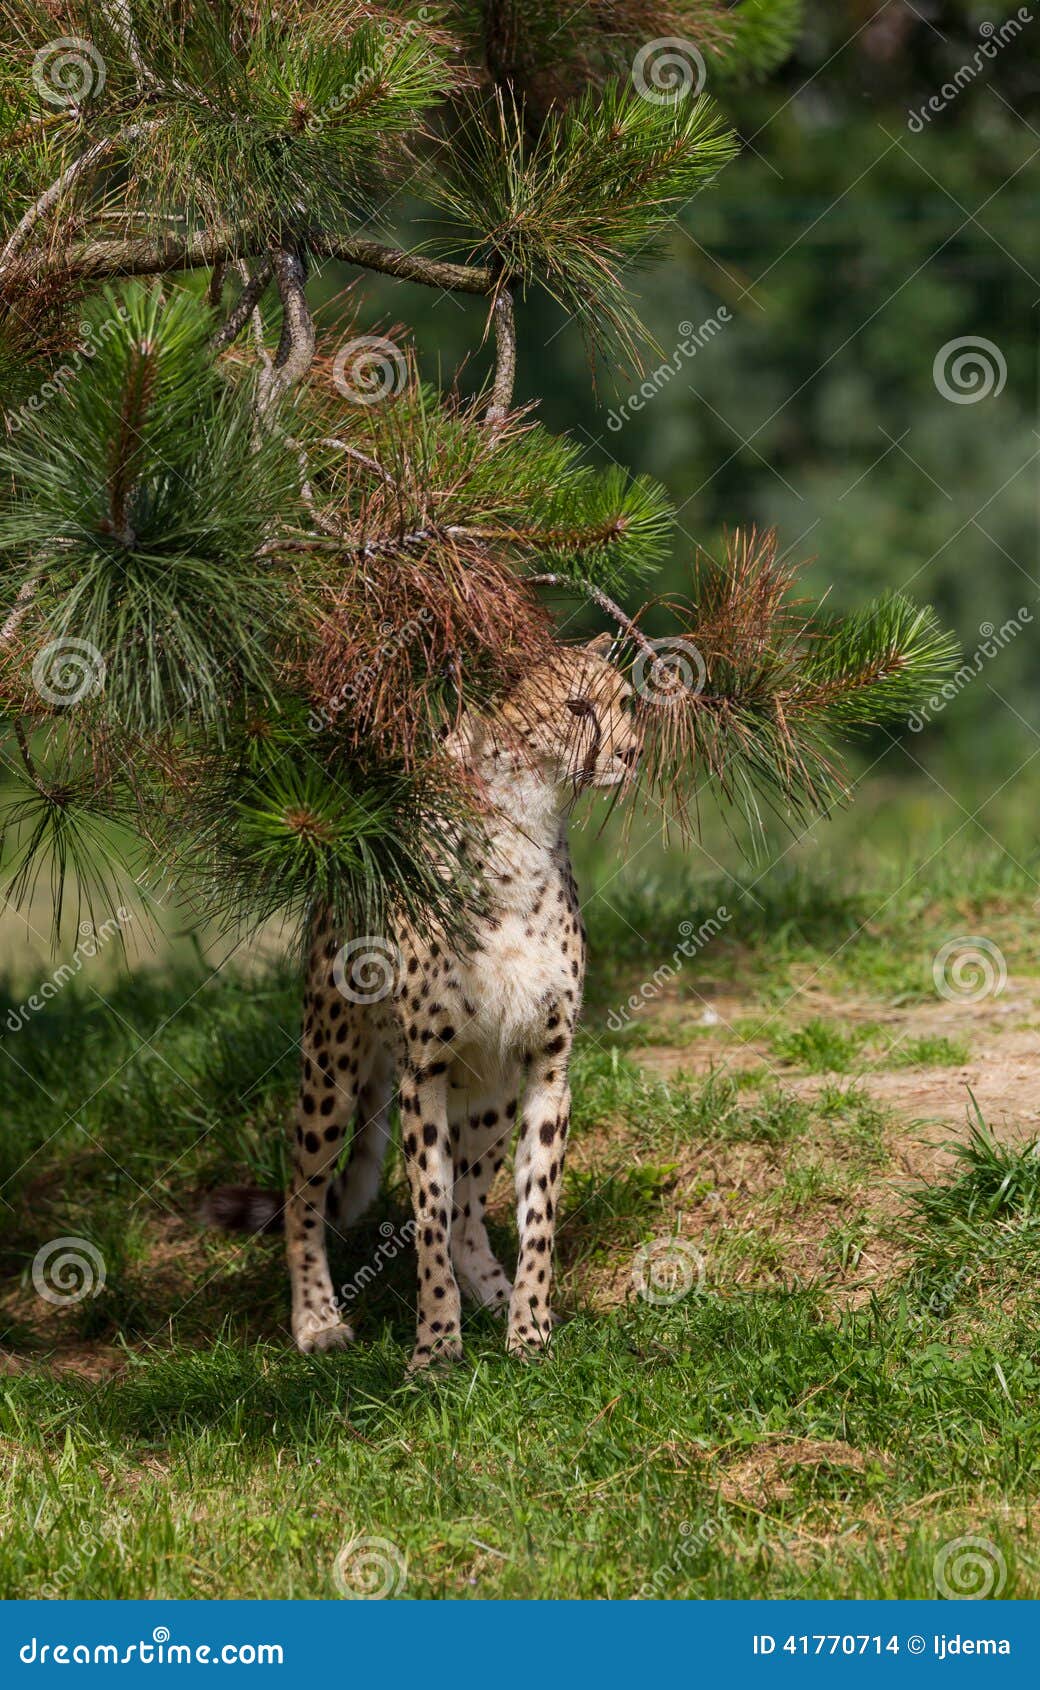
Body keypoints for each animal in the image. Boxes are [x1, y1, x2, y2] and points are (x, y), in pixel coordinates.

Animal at [206, 635, 642, 1369]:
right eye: (579, 706)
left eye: (629, 702)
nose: (633, 751)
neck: (520, 828)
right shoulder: (422, 1074)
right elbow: (427, 1214)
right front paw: (436, 1344)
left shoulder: (546, 1067)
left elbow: (536, 1213)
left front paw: (529, 1329)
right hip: (331, 1071)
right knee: (303, 1190)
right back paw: (316, 1318)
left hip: (492, 1093)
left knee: (469, 1212)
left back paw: (495, 1295)